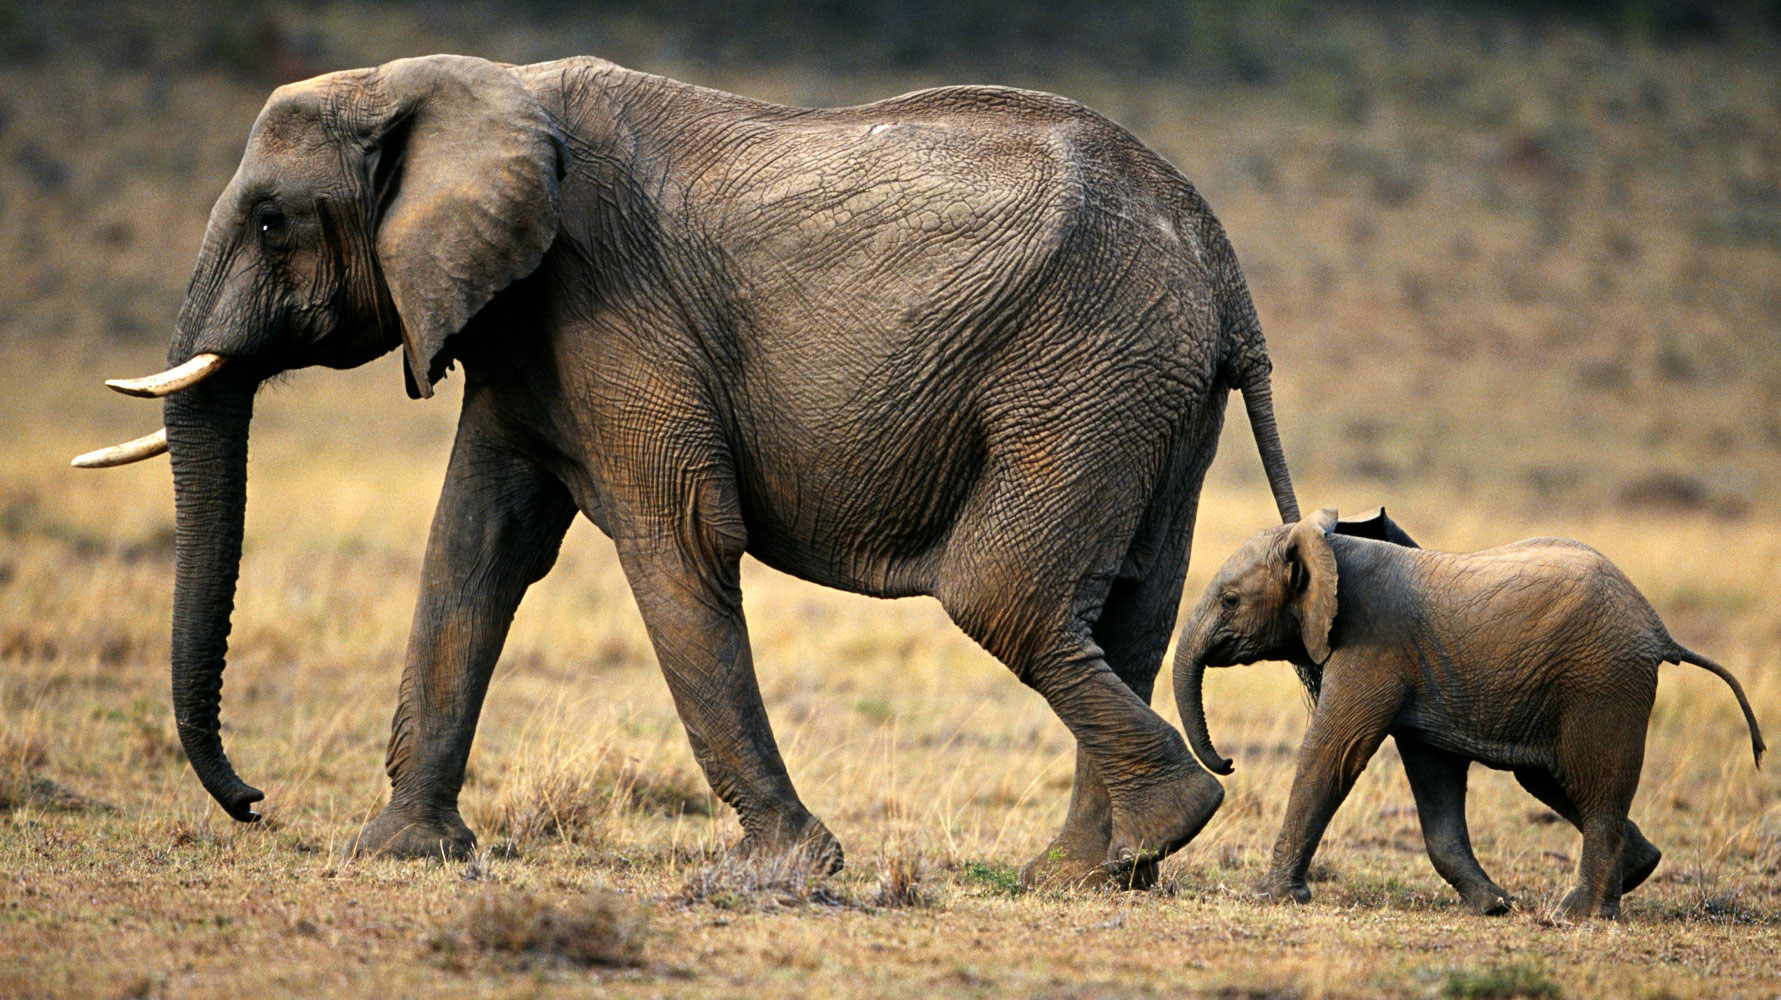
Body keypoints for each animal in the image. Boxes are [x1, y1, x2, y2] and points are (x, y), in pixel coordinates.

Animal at [74, 54, 1302, 886]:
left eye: (271, 222)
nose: (252, 800)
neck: (449, 84)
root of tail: (1224, 267)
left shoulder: (607, 302)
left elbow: (676, 539)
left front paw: (786, 873)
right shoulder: (522, 331)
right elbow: (474, 547)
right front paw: (399, 854)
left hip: (1086, 365)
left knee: (1002, 596)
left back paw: (1159, 824)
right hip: (1149, 391)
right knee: (1127, 610)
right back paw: (1092, 869)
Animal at [1171, 508, 1766, 918]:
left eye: (1229, 600)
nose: (1228, 763)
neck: (1328, 547)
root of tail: (1658, 628)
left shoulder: (1373, 645)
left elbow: (1335, 751)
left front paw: (1270, 898)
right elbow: (1433, 776)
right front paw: (1493, 906)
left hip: (1602, 680)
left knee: (1595, 784)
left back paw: (1577, 914)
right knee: (1555, 779)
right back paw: (1638, 873)